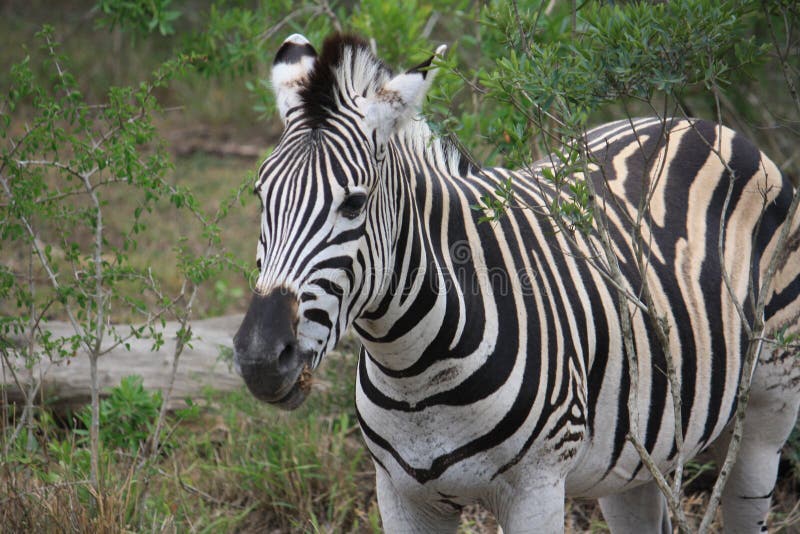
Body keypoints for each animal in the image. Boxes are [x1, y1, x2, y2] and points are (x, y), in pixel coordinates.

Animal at [233, 33, 800, 533]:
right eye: (260, 195)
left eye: (353, 204)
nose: (260, 358)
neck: (414, 373)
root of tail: (700, 124)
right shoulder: (400, 496)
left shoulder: (537, 490)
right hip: (637, 453)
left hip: (767, 409)